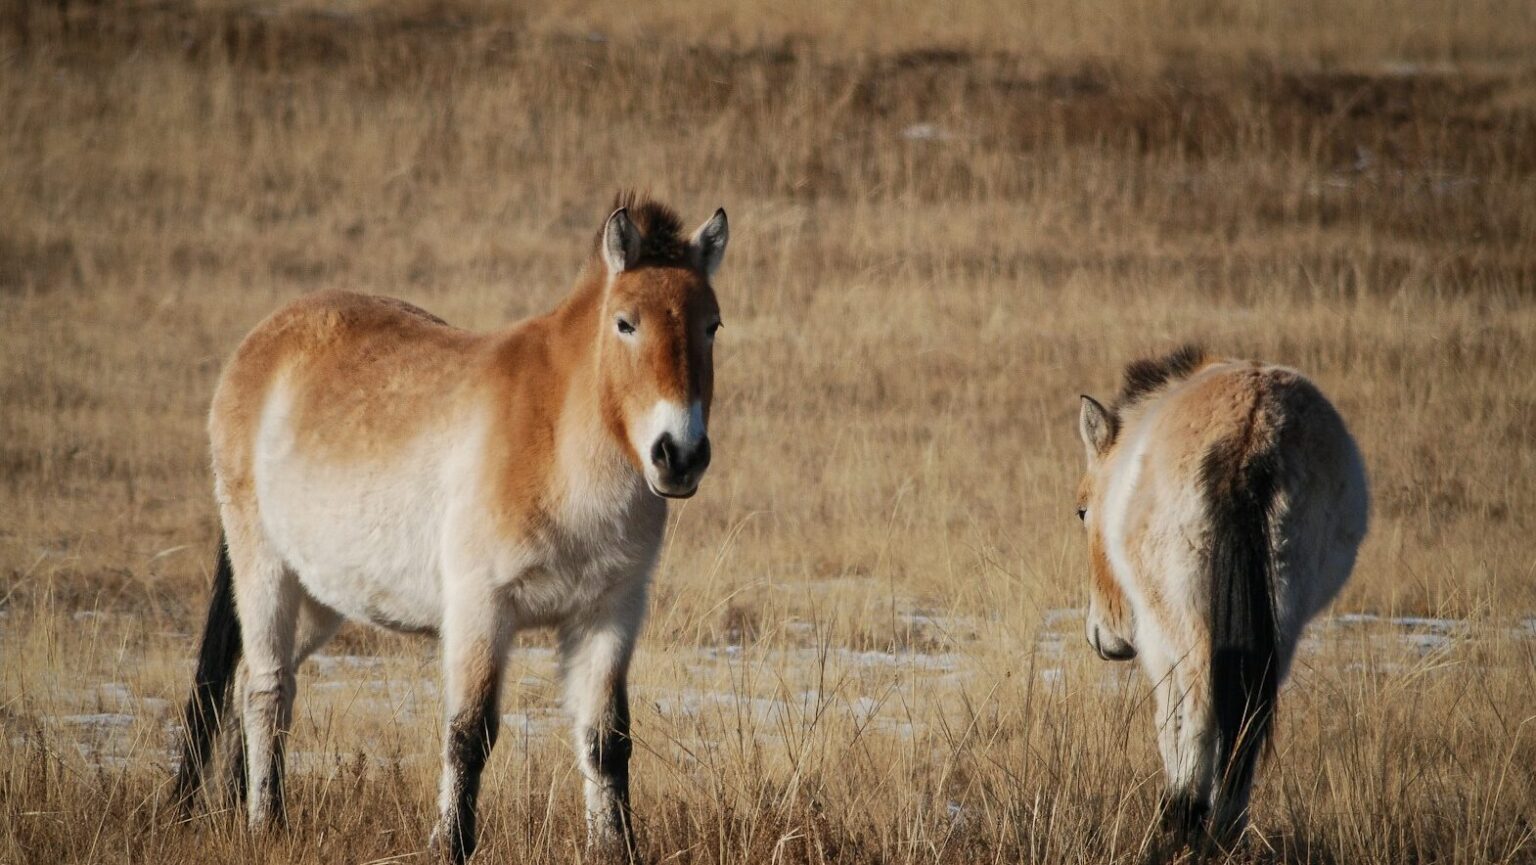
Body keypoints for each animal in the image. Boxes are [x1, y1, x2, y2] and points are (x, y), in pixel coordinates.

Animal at [170, 193, 730, 863]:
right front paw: (450, 844)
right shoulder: (480, 609)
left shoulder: (609, 614)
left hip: (319, 596)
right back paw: (265, 824)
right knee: (266, 692)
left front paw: (615, 849)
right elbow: (469, 734)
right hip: (264, 569)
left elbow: (605, 740)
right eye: (626, 323)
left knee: (246, 689)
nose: (679, 455)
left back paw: (232, 812)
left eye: (712, 325)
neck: (556, 439)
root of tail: (261, 342)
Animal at [1073, 346, 1368, 844]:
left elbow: (1167, 721)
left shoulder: (1157, 640)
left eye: (1081, 511)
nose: (1104, 639)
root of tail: (1252, 434)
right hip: (1281, 618)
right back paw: (1225, 829)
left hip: (1185, 622)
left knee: (1198, 709)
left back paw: (1181, 822)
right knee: (1249, 720)